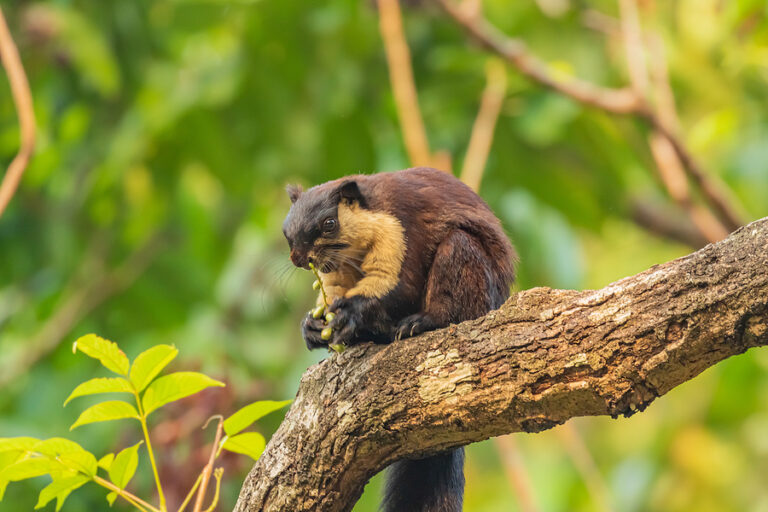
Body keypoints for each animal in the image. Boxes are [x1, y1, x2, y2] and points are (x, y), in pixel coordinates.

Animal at [283, 166, 516, 512]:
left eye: (329, 224)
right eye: (286, 231)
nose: (300, 258)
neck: (353, 254)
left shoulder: (403, 231)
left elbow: (401, 285)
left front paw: (351, 314)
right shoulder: (336, 274)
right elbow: (333, 293)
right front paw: (312, 327)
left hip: (464, 265)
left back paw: (419, 324)